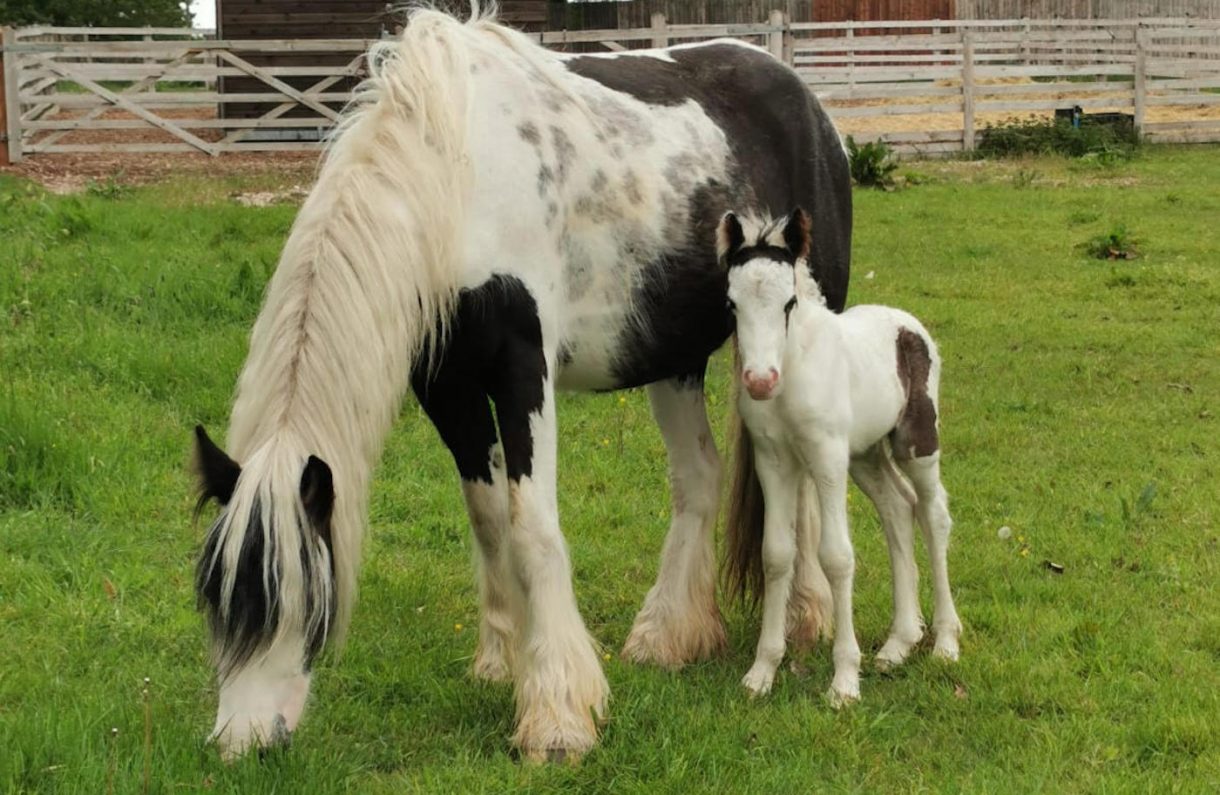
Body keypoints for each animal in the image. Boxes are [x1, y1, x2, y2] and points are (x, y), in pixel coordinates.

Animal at [190, 5, 851, 761]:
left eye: (293, 599)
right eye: (214, 598)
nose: (239, 742)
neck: (453, 182)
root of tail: (807, 104)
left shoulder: (519, 369)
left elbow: (533, 526)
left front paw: (558, 715)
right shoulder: (446, 385)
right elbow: (487, 518)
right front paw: (502, 661)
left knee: (801, 479)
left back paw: (805, 620)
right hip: (671, 356)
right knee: (699, 476)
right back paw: (668, 635)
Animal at [719, 209, 960, 705]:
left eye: (789, 303)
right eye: (732, 305)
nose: (759, 381)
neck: (794, 370)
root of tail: (907, 323)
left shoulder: (827, 459)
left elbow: (836, 557)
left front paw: (845, 680)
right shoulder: (774, 461)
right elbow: (776, 554)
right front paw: (762, 671)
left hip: (917, 444)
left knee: (933, 515)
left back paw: (945, 641)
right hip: (866, 455)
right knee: (898, 509)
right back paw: (898, 644)